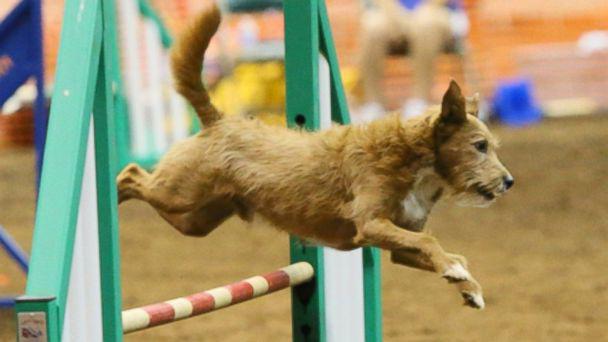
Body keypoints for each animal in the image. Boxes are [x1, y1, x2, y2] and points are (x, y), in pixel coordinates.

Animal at [115, 5, 512, 310]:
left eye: (493, 146)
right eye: (479, 145)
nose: (509, 181)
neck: (415, 159)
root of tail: (219, 120)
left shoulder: (400, 239)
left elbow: (445, 252)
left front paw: (469, 287)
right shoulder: (372, 224)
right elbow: (431, 243)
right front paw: (460, 276)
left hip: (196, 219)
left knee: (150, 194)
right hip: (179, 192)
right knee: (132, 174)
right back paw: (110, 194)